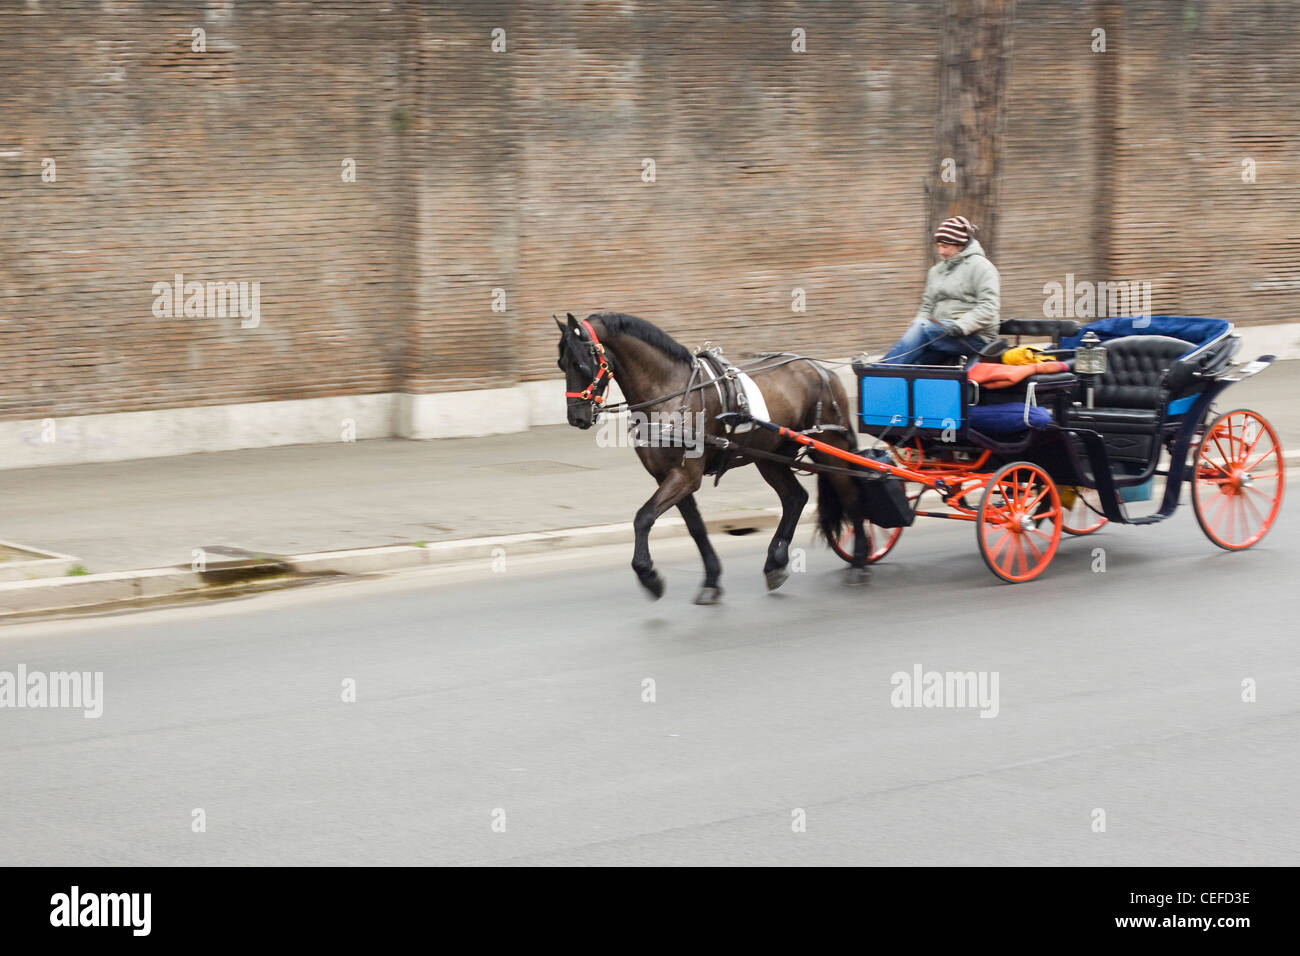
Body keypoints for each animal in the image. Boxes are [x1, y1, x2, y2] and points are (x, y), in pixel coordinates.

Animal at [555, 311, 877, 604]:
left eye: (581, 363)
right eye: (561, 364)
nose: (576, 417)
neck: (672, 392)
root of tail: (822, 370)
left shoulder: (685, 476)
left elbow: (643, 517)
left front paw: (648, 575)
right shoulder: (668, 476)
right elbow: (695, 528)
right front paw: (711, 579)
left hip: (829, 447)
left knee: (851, 495)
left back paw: (860, 559)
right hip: (770, 457)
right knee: (795, 498)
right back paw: (776, 563)